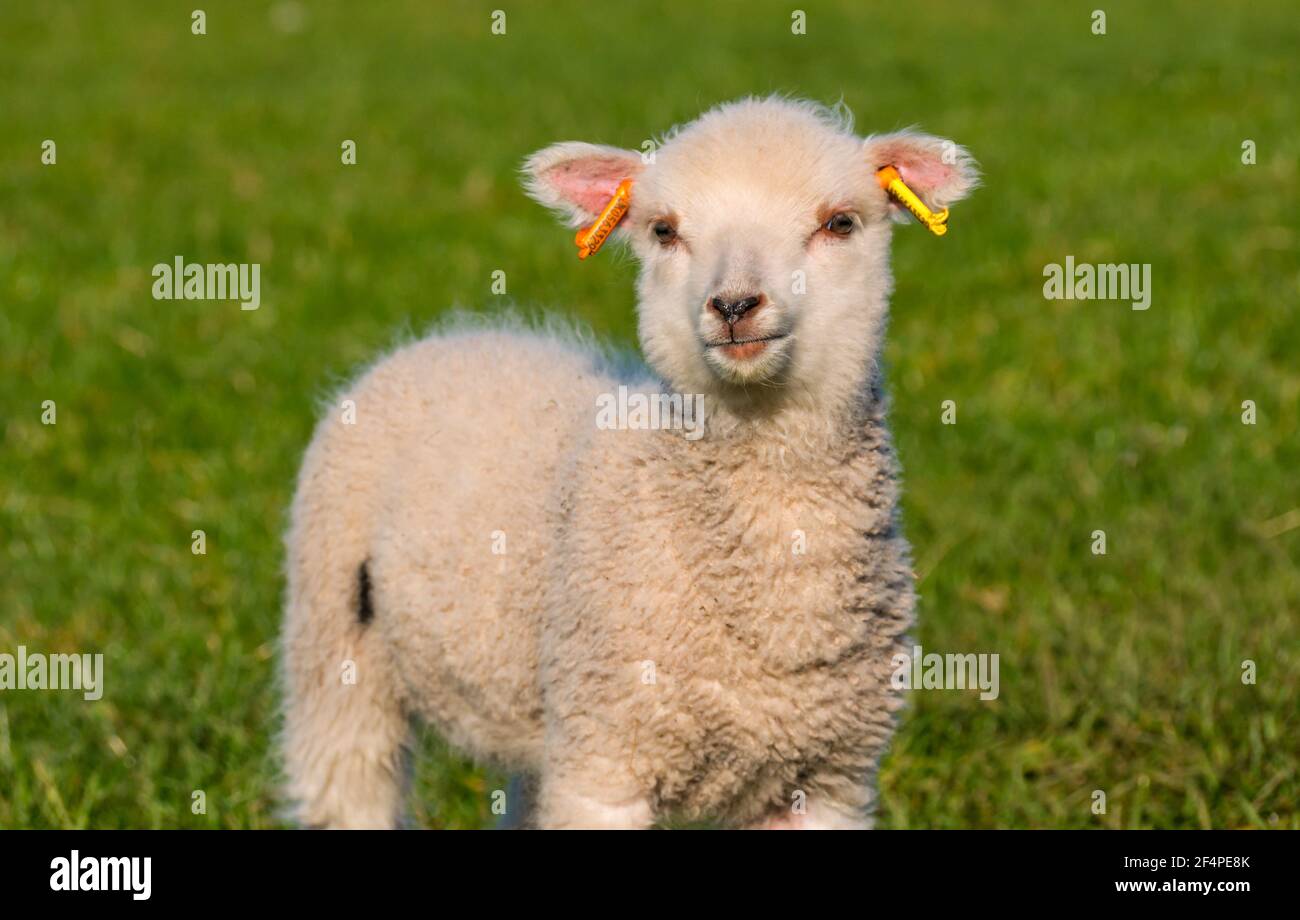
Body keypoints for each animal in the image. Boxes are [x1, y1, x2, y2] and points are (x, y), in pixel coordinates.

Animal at [280, 96, 978, 829]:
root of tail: (447, 337)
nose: (734, 306)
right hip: (333, 639)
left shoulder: (829, 779)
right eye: (665, 231)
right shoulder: (606, 760)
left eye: (840, 222)